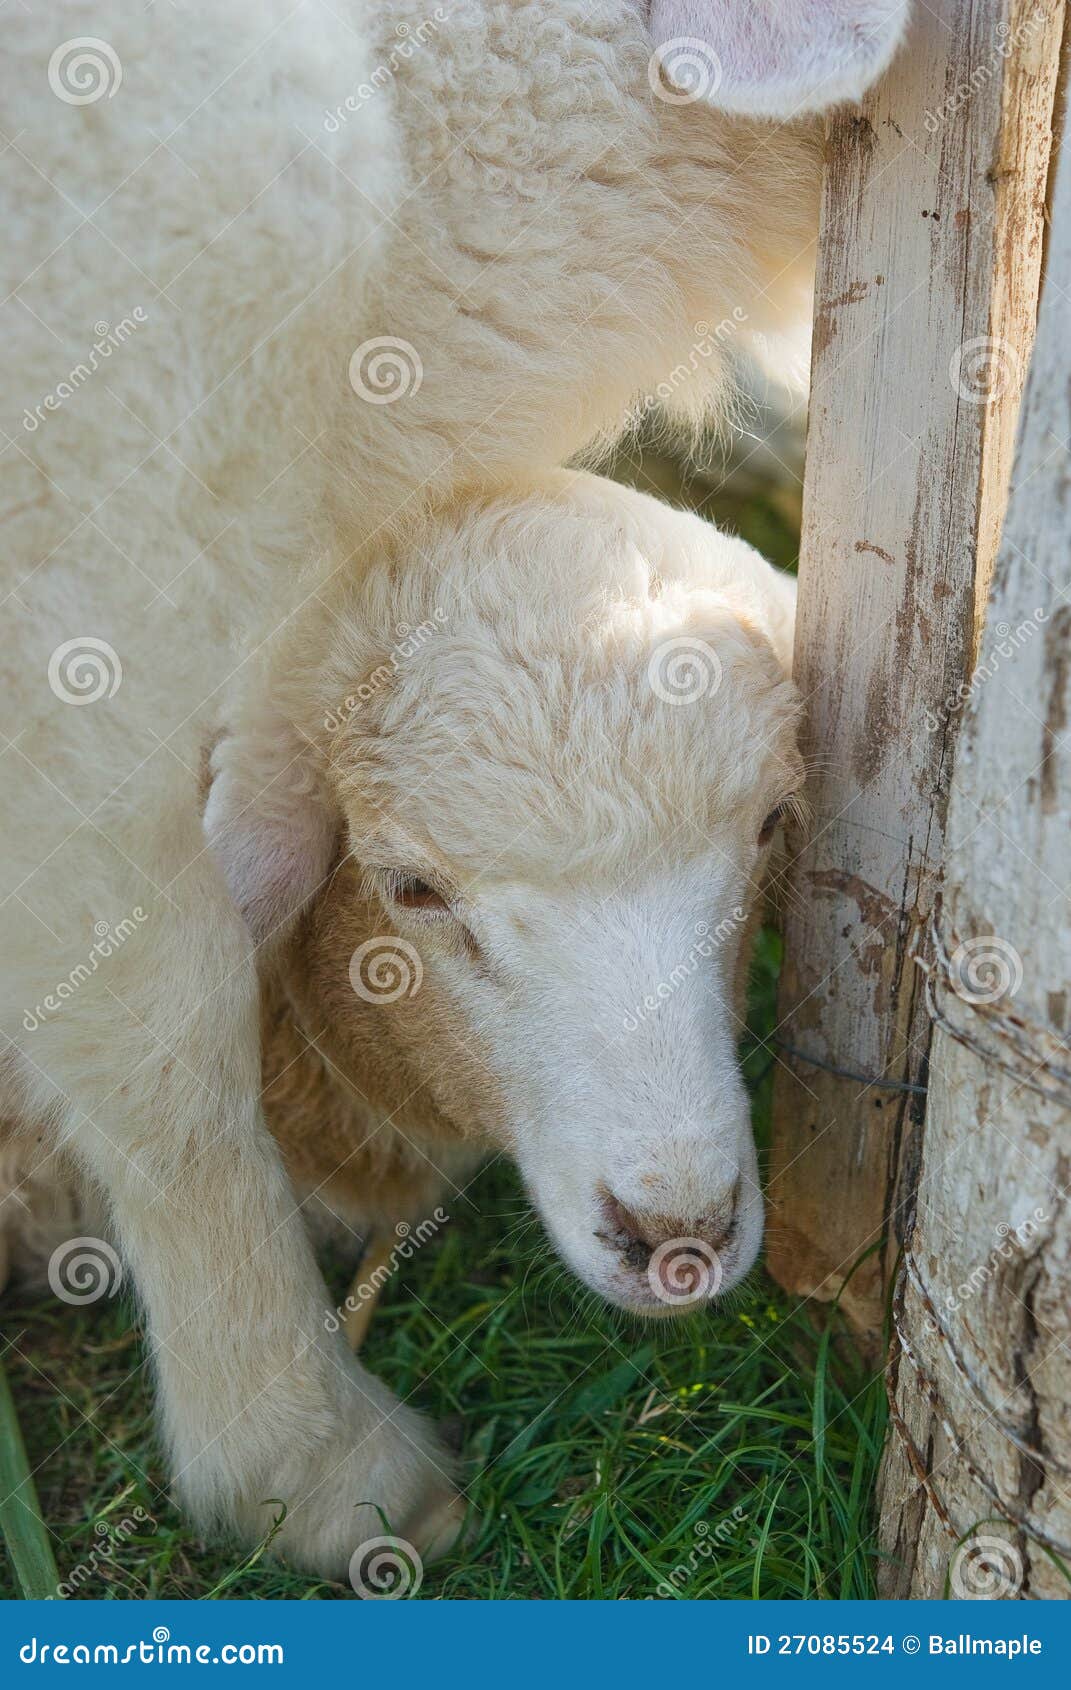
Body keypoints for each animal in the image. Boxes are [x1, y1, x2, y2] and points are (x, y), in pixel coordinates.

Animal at [2, 2, 906, 1575]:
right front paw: (303, 1455)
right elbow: (161, 1036)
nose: (675, 1236)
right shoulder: (71, 548)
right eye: (410, 889)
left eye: (772, 828)